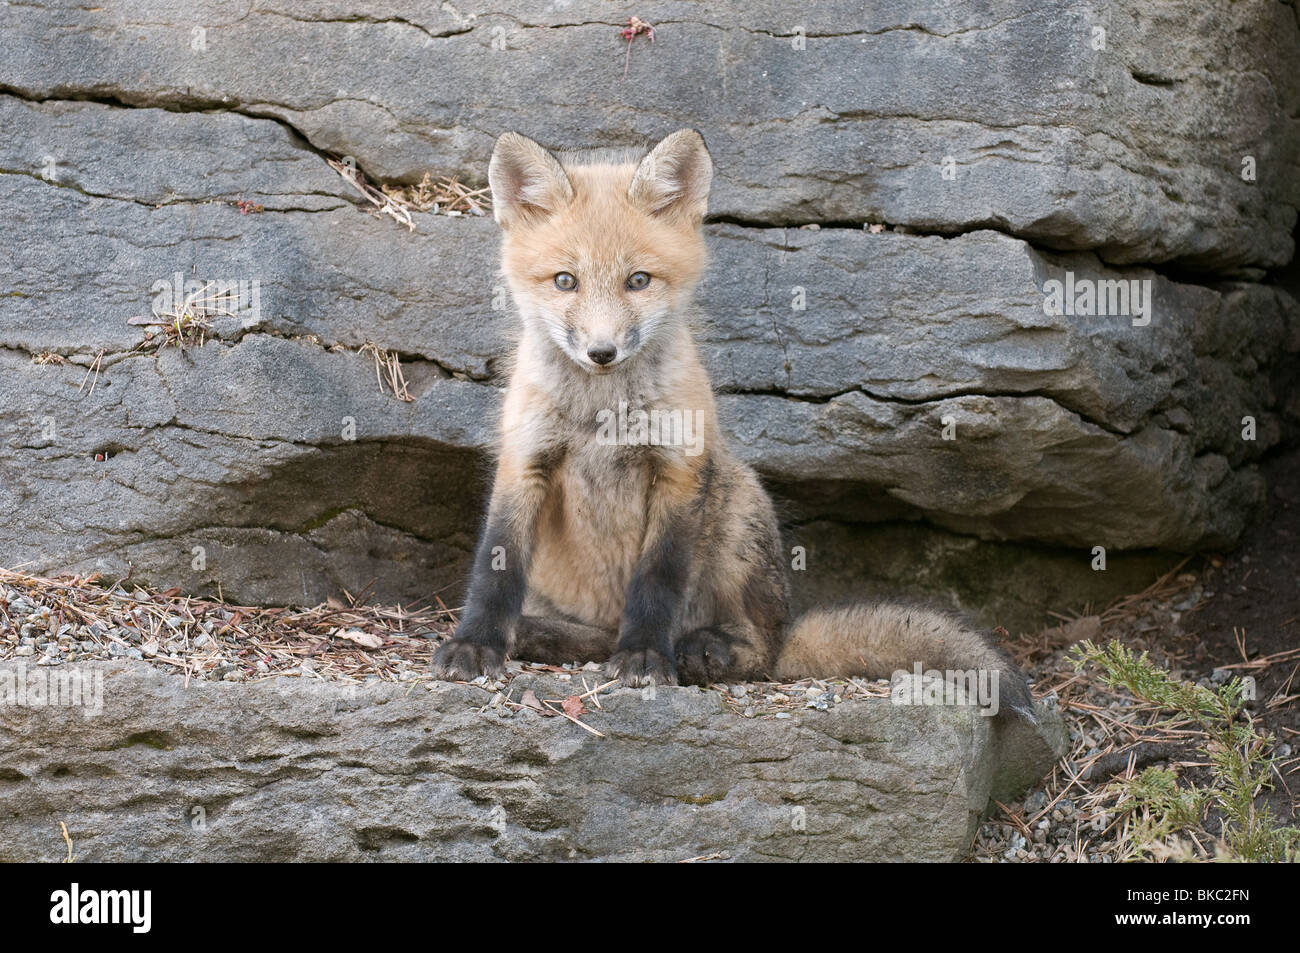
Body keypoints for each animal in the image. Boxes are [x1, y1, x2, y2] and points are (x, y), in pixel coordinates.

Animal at [432, 128, 1036, 720]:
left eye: (638, 280)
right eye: (564, 281)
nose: (602, 353)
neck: (601, 414)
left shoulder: (679, 472)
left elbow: (657, 581)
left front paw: (645, 657)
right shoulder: (525, 462)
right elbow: (494, 570)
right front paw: (475, 644)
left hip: (736, 506)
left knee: (759, 651)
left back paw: (705, 652)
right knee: (595, 639)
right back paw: (545, 636)